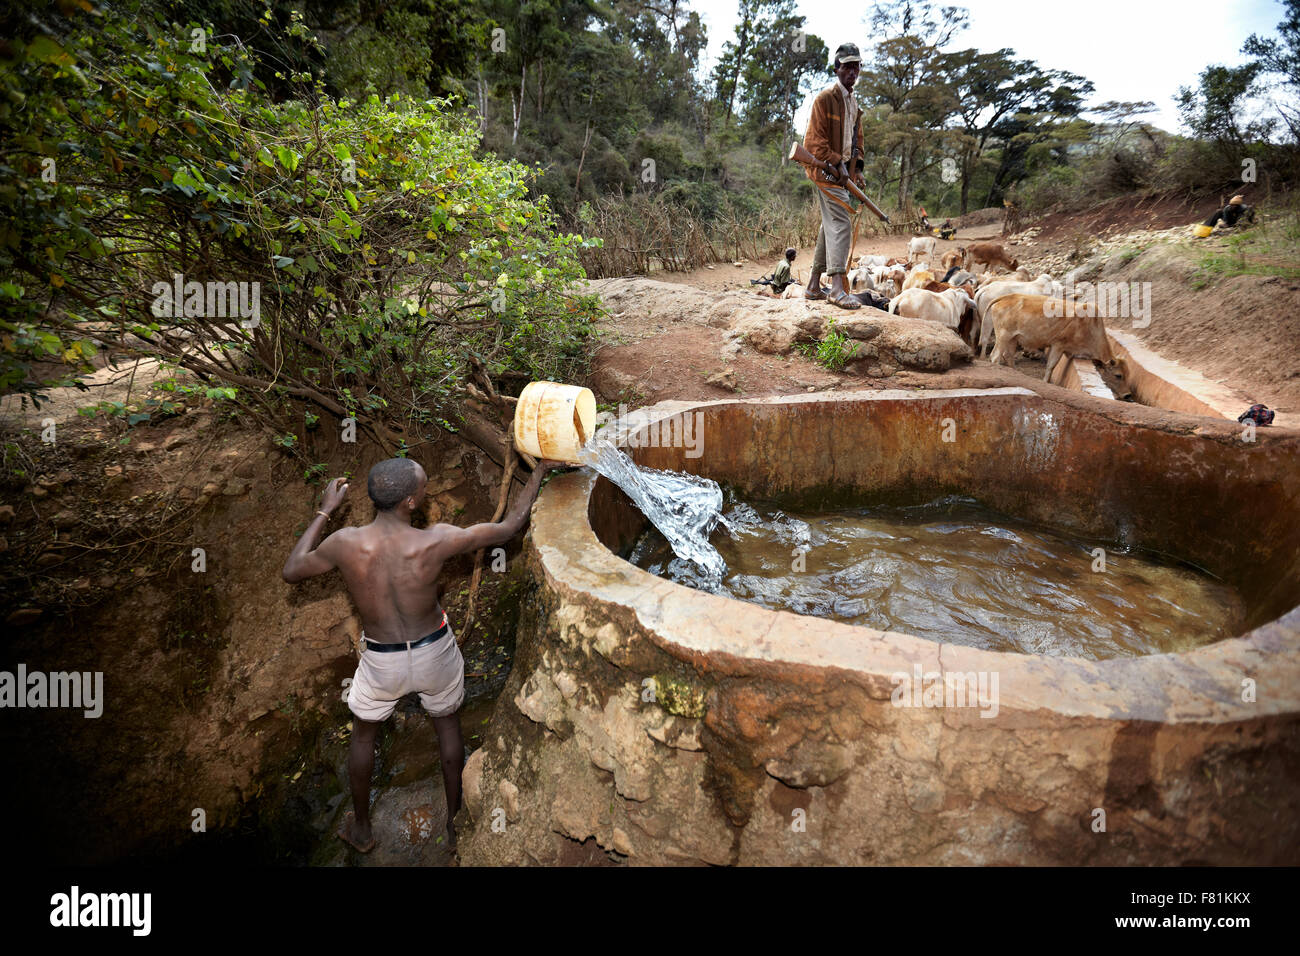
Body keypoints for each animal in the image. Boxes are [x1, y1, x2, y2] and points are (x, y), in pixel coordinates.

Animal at [986, 293, 1116, 381]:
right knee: (995, 356)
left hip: (1013, 338)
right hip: (1003, 336)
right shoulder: (1058, 345)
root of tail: (1008, 296)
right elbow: (1051, 366)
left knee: (1008, 355)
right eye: (1117, 375)